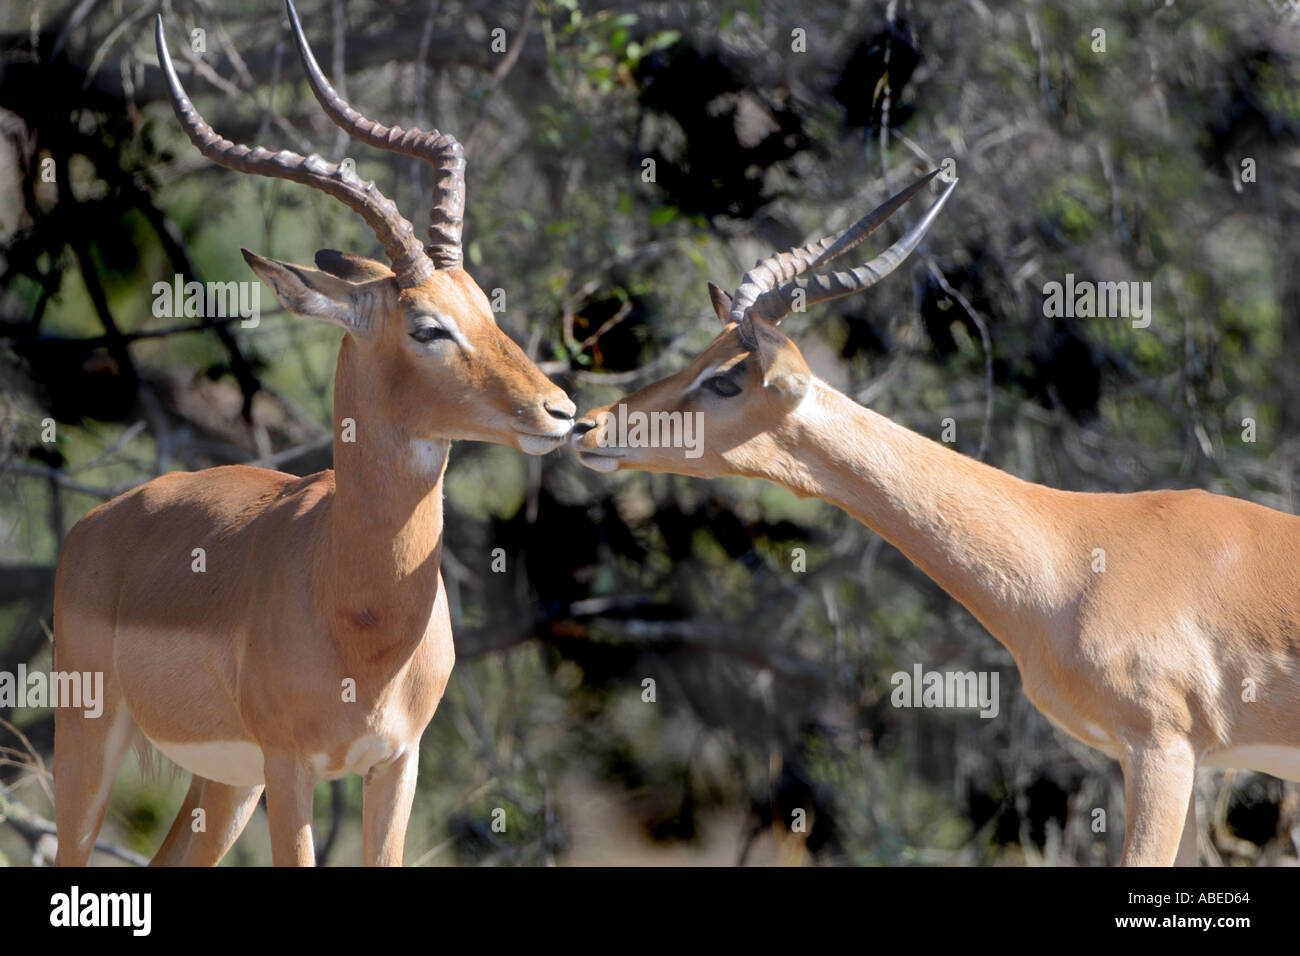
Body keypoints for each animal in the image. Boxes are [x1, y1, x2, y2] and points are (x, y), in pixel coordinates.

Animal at [51, 4, 576, 867]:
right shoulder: (292, 767)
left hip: (224, 784)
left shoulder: (396, 763)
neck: (355, 609)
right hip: (93, 748)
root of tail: (101, 522)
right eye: (428, 326)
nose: (559, 412)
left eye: (484, 306)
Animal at [571, 169, 1300, 866]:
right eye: (702, 354)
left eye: (726, 378)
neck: (1073, 558)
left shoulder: (1161, 749)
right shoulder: (1181, 761)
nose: (589, 424)